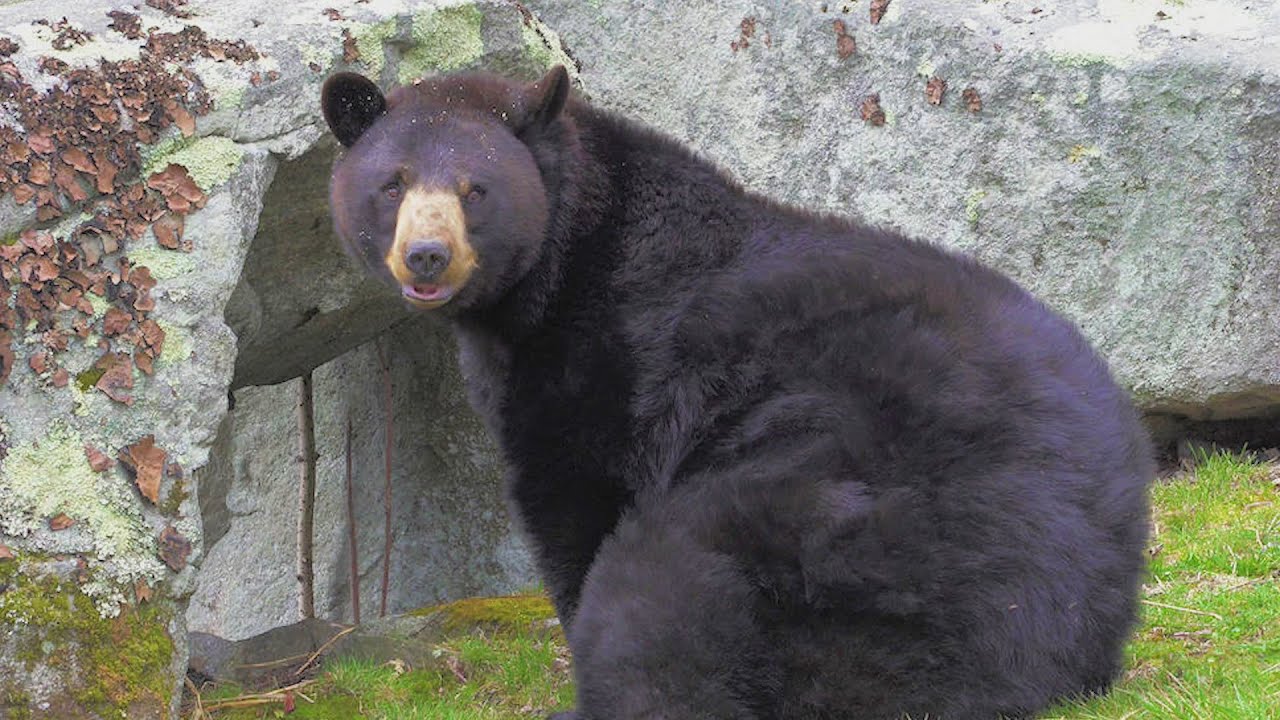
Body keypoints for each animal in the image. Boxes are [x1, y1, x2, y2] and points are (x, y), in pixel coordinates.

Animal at [321, 65, 1153, 720]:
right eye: (391, 184)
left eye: (476, 190)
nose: (427, 257)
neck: (563, 270)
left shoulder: (606, 368)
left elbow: (573, 508)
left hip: (837, 533)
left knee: (663, 600)